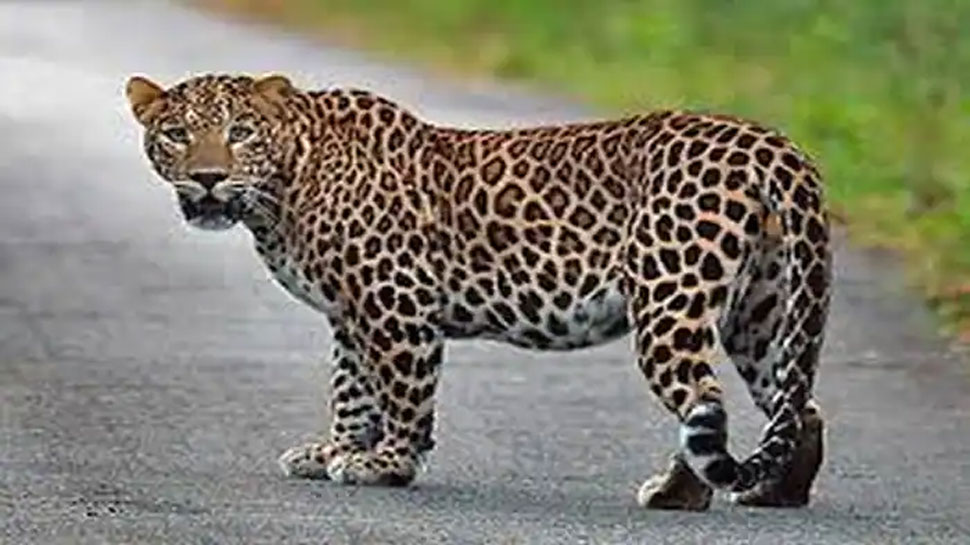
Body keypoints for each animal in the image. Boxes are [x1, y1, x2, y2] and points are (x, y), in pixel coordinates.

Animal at [125, 73, 831, 510]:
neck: (287, 183)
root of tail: (768, 141)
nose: (207, 178)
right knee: (796, 405)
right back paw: (772, 492)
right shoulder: (350, 315)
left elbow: (402, 393)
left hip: (669, 299)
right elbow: (350, 390)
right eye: (177, 135)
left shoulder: (394, 302)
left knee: (703, 401)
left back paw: (676, 496)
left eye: (240, 132)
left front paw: (389, 466)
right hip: (762, 308)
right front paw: (335, 450)